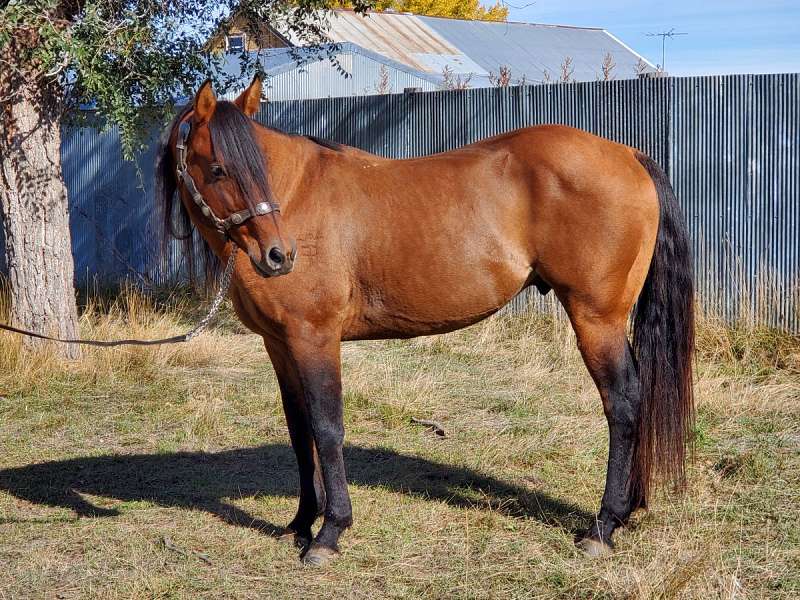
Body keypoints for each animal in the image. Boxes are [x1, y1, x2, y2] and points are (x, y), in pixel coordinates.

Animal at [154, 77, 695, 566]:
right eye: (219, 168)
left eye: (254, 168)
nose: (278, 255)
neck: (299, 195)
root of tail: (628, 154)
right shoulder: (279, 345)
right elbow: (299, 431)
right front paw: (300, 523)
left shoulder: (315, 338)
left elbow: (327, 428)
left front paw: (329, 533)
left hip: (597, 320)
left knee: (623, 404)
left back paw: (602, 527)